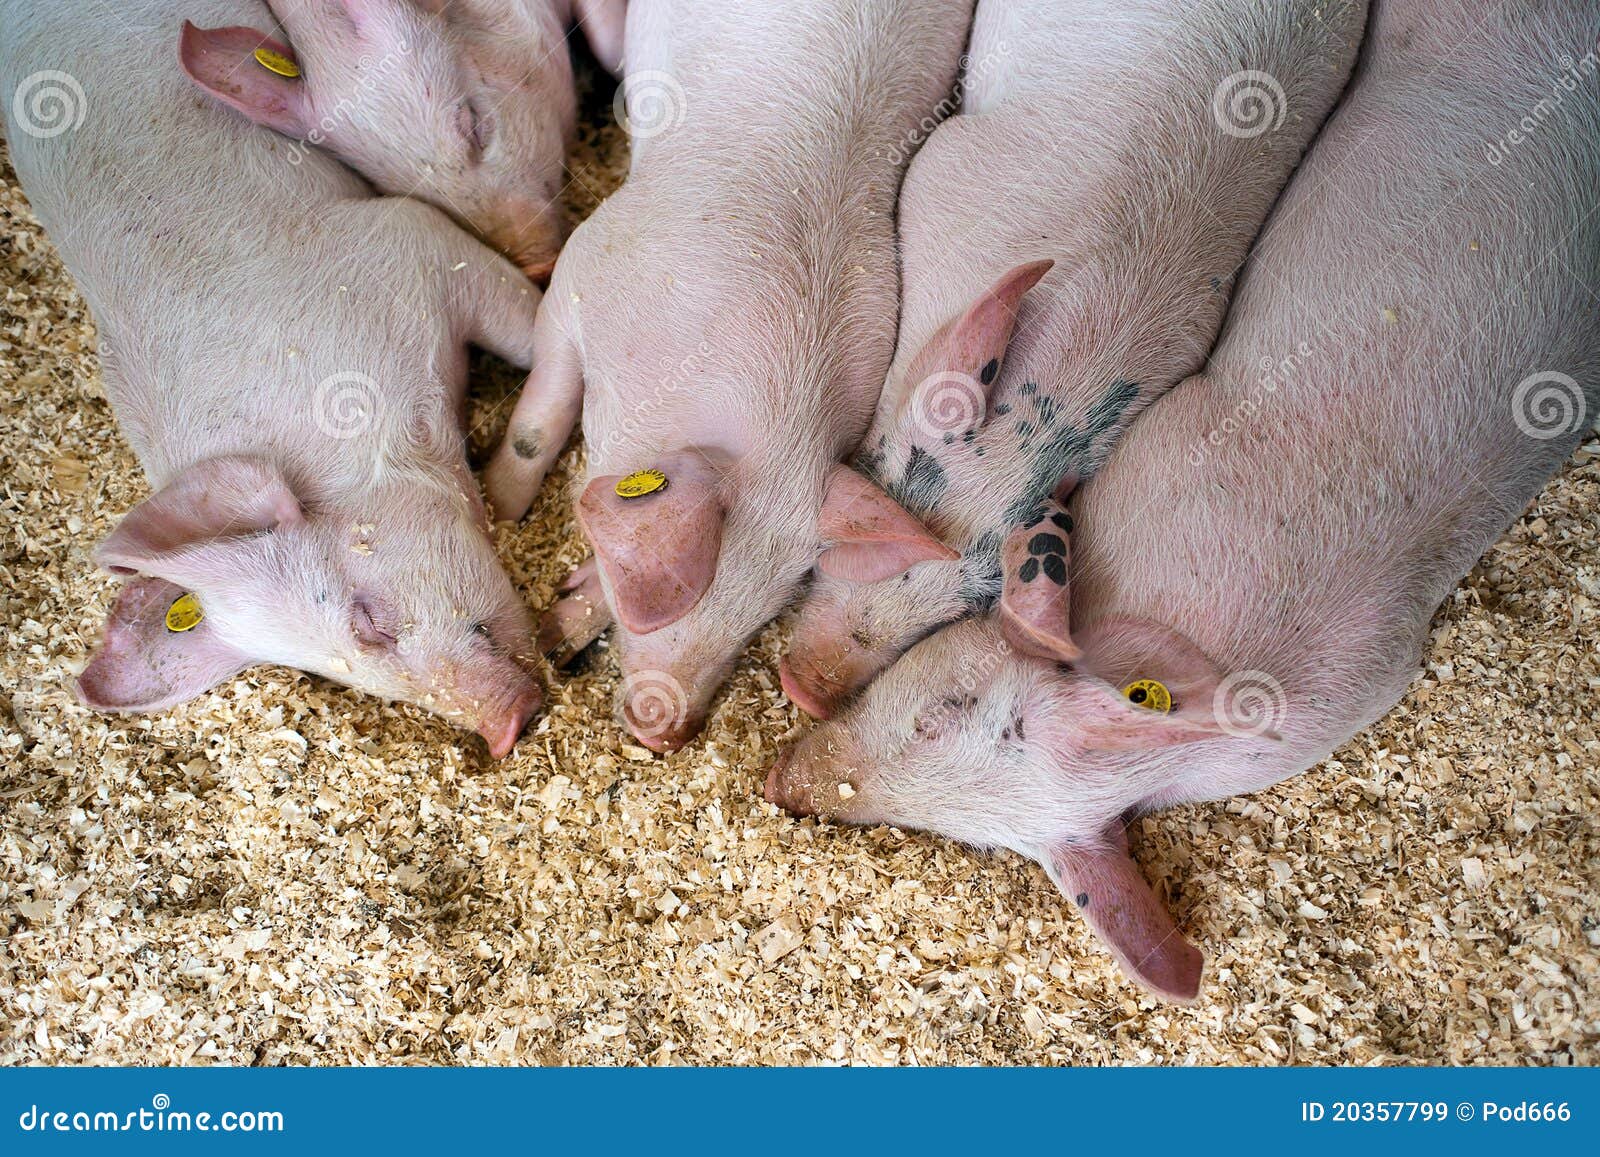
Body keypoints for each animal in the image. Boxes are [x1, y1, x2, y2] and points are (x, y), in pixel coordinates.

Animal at [484, 0, 978, 751]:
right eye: (685, 599)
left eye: (762, 612)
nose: (666, 732)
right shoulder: (583, 270)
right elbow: (537, 430)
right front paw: (499, 509)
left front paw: (559, 625)